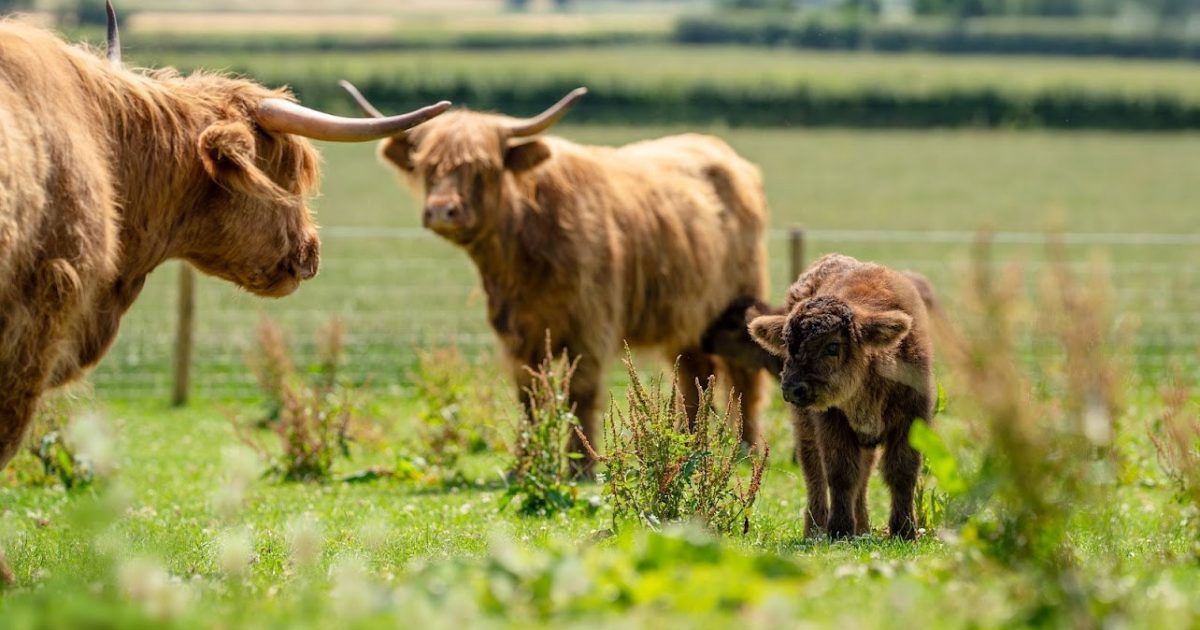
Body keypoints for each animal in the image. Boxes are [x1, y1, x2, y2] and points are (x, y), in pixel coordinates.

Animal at [340, 81, 770, 475]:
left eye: (483, 168)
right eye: (429, 166)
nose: (442, 210)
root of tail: (718, 150)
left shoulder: (591, 327)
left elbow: (580, 393)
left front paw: (582, 465)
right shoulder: (517, 334)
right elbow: (529, 397)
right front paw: (524, 464)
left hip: (740, 303)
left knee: (743, 377)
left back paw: (744, 449)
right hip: (687, 318)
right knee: (694, 377)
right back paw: (691, 447)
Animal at [747, 254, 935, 540]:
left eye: (833, 347)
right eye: (788, 346)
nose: (792, 388)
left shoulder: (912, 418)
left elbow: (901, 471)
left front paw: (904, 531)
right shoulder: (832, 422)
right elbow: (840, 474)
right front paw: (839, 530)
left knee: (864, 473)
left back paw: (863, 528)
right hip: (805, 424)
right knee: (813, 469)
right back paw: (815, 529)